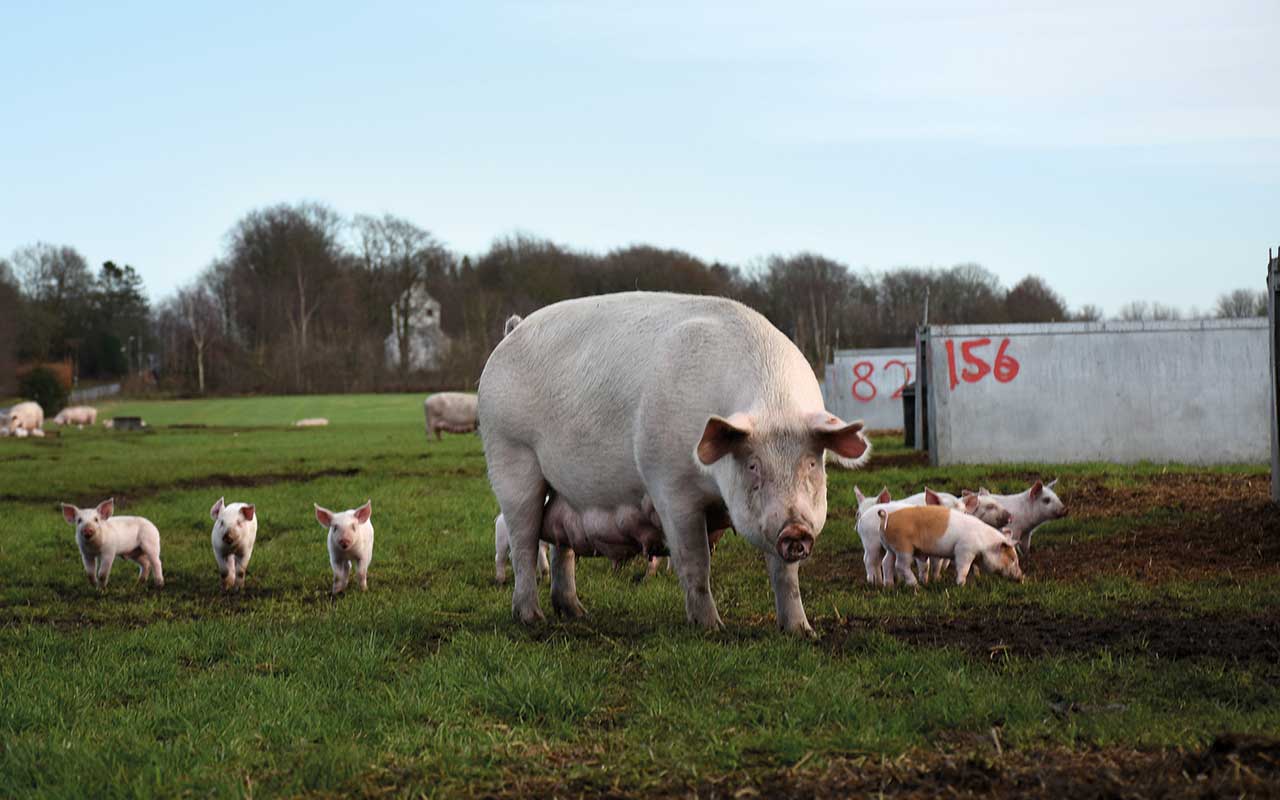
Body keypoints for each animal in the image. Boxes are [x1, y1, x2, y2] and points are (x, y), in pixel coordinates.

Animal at [478, 292, 870, 633]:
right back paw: (532, 618)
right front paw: (712, 628)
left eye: (812, 464)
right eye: (753, 465)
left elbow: (784, 574)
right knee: (524, 543)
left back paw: (576, 613)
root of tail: (512, 331)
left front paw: (802, 632)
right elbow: (695, 562)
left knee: (563, 544)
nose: (795, 532)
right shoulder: (669, 485)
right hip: (508, 455)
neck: (772, 404)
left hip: (565, 489)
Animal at [877, 505, 1022, 587]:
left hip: (890, 548)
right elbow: (963, 568)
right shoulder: (964, 550)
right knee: (900, 565)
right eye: (1012, 559)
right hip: (903, 547)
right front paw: (960, 585)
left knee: (886, 562)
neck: (984, 543)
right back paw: (916, 586)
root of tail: (885, 519)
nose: (1022, 578)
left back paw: (889, 586)